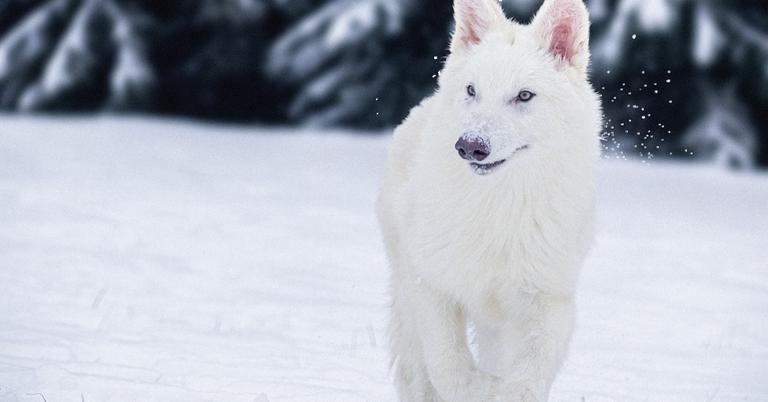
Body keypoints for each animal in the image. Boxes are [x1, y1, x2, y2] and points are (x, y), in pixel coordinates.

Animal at [376, 0, 601, 400]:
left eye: (524, 95)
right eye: (472, 90)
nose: (470, 146)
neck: (499, 206)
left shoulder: (550, 301)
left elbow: (528, 379)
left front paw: (503, 388)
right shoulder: (432, 287)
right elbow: (449, 368)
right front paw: (484, 387)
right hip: (407, 291)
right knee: (419, 372)